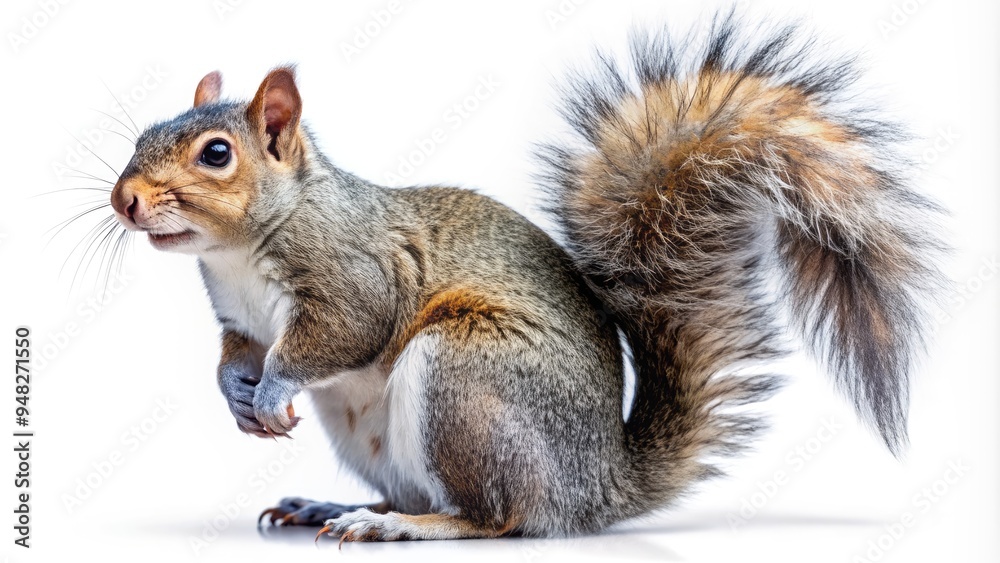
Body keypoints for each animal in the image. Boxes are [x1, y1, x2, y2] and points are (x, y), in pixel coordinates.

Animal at [108, 14, 943, 542]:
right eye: (144, 134)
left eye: (217, 154)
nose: (125, 200)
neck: (239, 251)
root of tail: (596, 484)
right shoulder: (239, 318)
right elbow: (236, 353)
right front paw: (236, 392)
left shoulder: (354, 276)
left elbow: (340, 332)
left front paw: (274, 388)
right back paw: (328, 504)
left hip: (465, 378)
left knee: (498, 516)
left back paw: (402, 523)